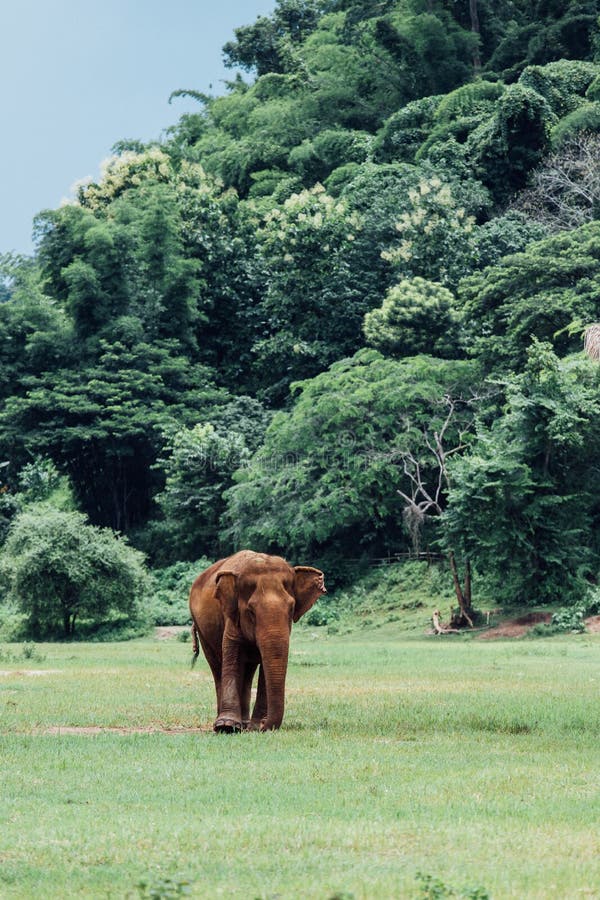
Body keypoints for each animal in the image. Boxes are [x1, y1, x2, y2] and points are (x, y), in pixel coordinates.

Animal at [189, 550, 326, 732]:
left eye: (291, 609)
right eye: (251, 612)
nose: (263, 725)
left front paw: (253, 726)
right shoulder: (232, 616)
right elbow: (232, 656)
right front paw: (226, 726)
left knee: (248, 671)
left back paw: (244, 724)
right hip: (201, 627)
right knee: (217, 666)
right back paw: (223, 723)